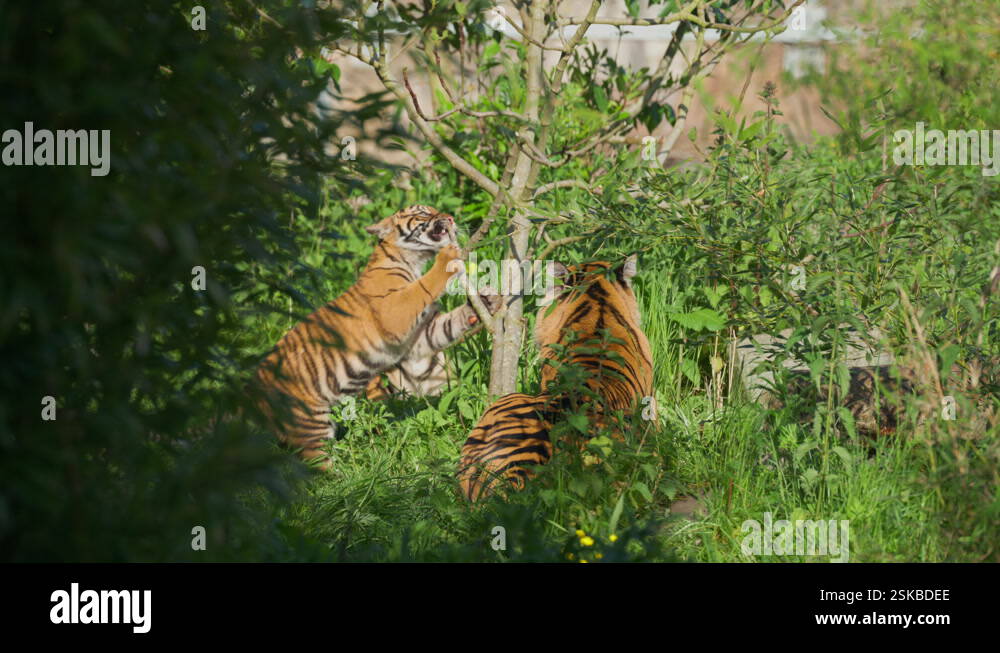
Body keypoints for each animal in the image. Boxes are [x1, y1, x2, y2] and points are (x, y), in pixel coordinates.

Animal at [255, 205, 497, 468]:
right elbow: (425, 285)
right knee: (315, 465)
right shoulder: (396, 312)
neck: (414, 262)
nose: (451, 219)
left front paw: (485, 301)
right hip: (308, 424)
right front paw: (448, 255)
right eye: (424, 213)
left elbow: (448, 324)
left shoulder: (421, 334)